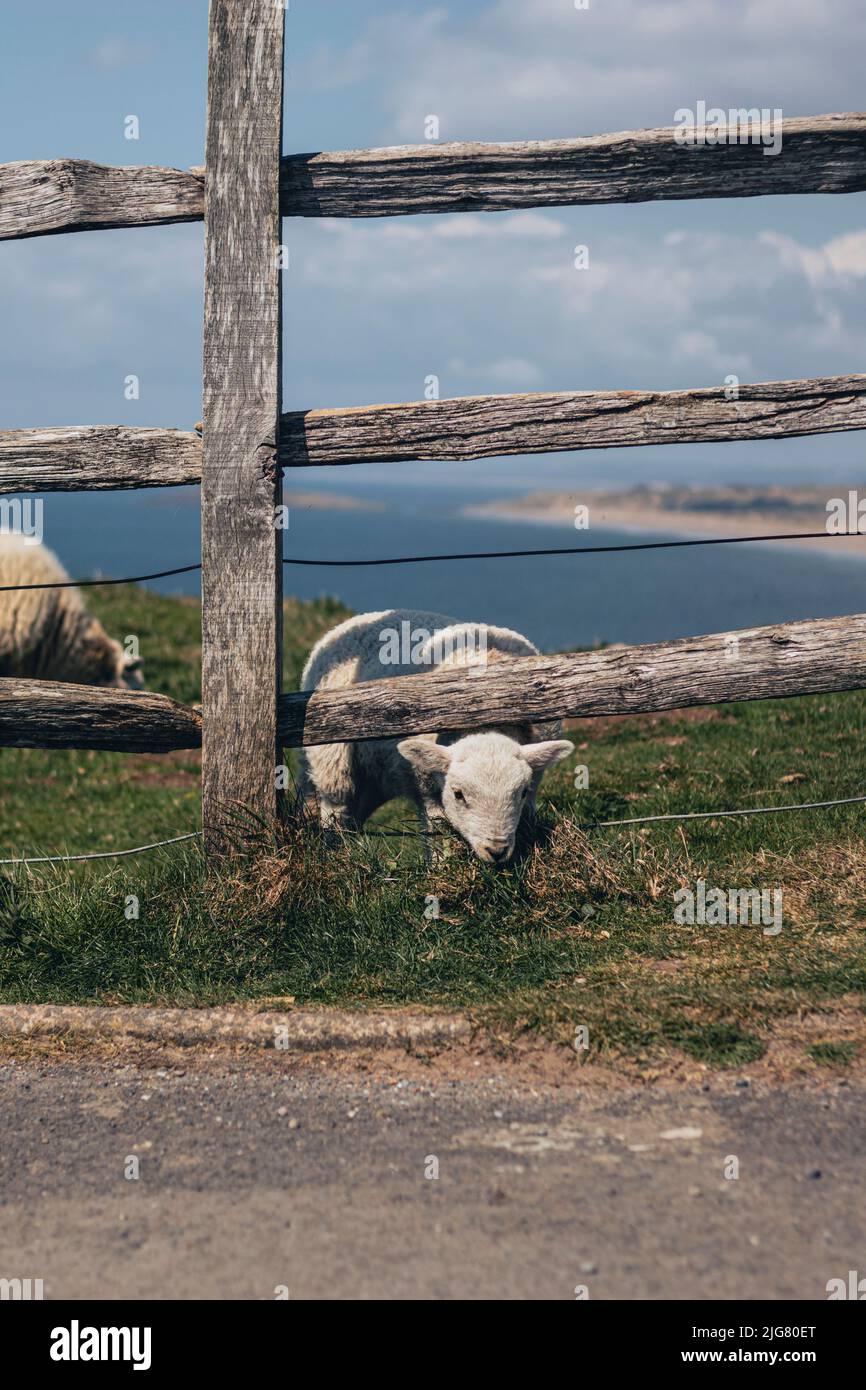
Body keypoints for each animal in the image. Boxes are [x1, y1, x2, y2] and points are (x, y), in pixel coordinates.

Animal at [298, 609, 573, 864]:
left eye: (521, 792)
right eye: (458, 794)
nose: (496, 851)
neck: (489, 705)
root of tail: (350, 622)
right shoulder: (426, 785)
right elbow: (439, 833)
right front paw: (442, 866)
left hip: (374, 775)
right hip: (331, 755)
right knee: (334, 808)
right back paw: (334, 855)